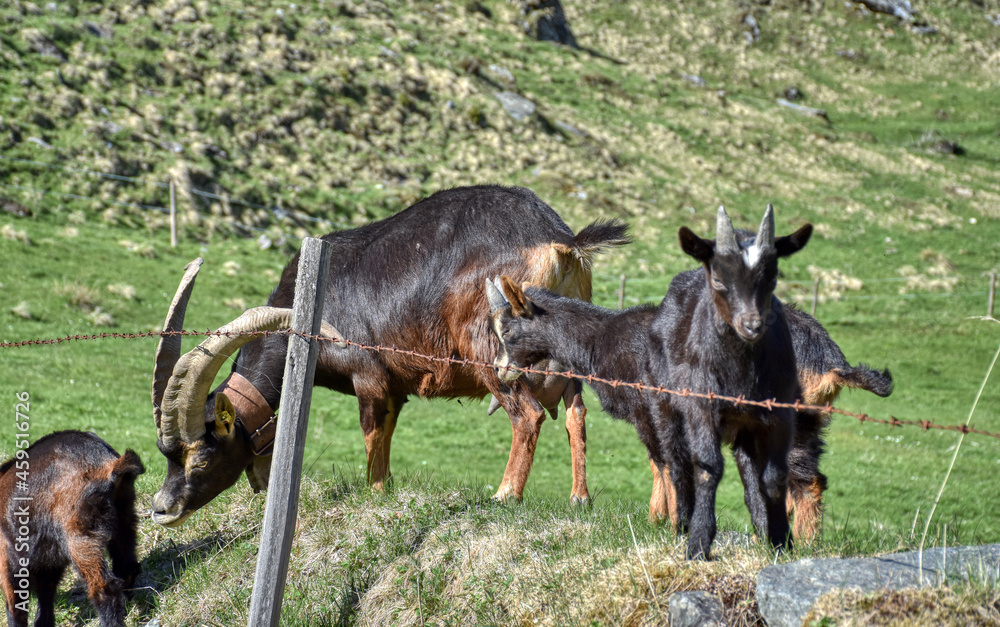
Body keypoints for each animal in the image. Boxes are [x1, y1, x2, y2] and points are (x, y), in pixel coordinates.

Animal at [0, 430, 144, 627]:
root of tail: (109, 464)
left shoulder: (7, 554)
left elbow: (15, 606)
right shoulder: (47, 559)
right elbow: (46, 595)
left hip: (80, 532)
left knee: (104, 586)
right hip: (124, 512)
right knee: (127, 565)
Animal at [150, 185, 629, 526]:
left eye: (203, 456)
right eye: (166, 455)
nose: (161, 509)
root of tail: (561, 239)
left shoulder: (369, 377)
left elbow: (372, 434)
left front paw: (375, 492)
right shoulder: (396, 389)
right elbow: (388, 432)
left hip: (493, 349)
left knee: (527, 414)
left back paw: (505, 495)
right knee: (576, 411)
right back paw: (580, 499)